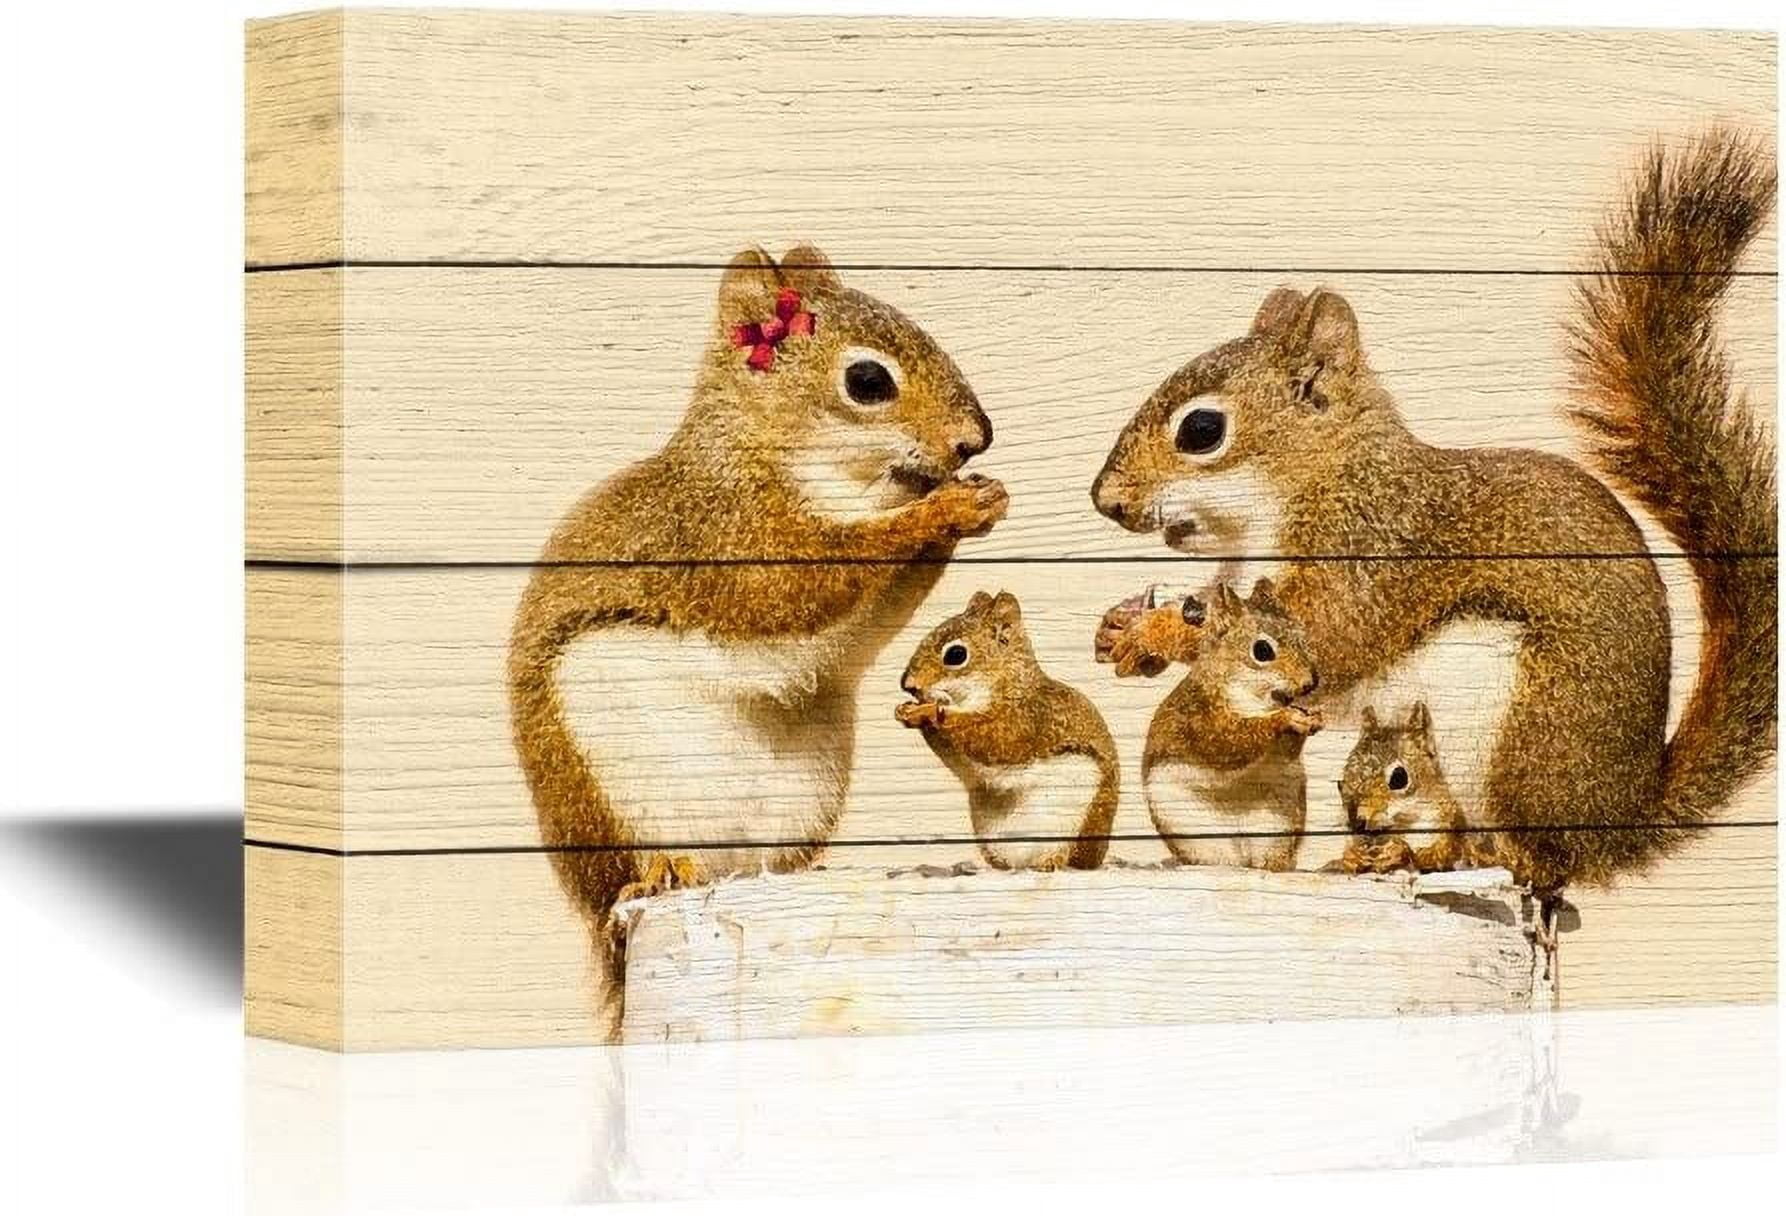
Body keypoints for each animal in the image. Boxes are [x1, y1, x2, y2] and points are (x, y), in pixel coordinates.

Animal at [508, 244, 1007, 1038]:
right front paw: (941, 508)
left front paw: (978, 500)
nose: (975, 439)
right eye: (868, 381)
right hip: (615, 784)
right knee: (634, 872)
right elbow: (798, 581)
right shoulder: (723, 535)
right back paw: (662, 873)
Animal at [896, 590, 1119, 871]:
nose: (908, 685)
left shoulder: (1025, 722)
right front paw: (906, 711)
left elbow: (992, 740)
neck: (1006, 687)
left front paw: (932, 713)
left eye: (956, 654)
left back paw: (1048, 863)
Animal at [1099, 578, 1323, 871]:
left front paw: (1312, 717)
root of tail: (1241, 856)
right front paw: (1283, 719)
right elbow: (1229, 742)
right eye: (1262, 650)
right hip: (1191, 824)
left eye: (1304, 640)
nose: (1311, 682)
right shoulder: (1201, 718)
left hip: (1279, 819)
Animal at [1328, 702, 1498, 875]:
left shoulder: (1450, 842)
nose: (1356, 823)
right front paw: (1353, 857)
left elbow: (1432, 858)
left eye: (1399, 778)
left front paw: (1398, 852)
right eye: (1340, 783)